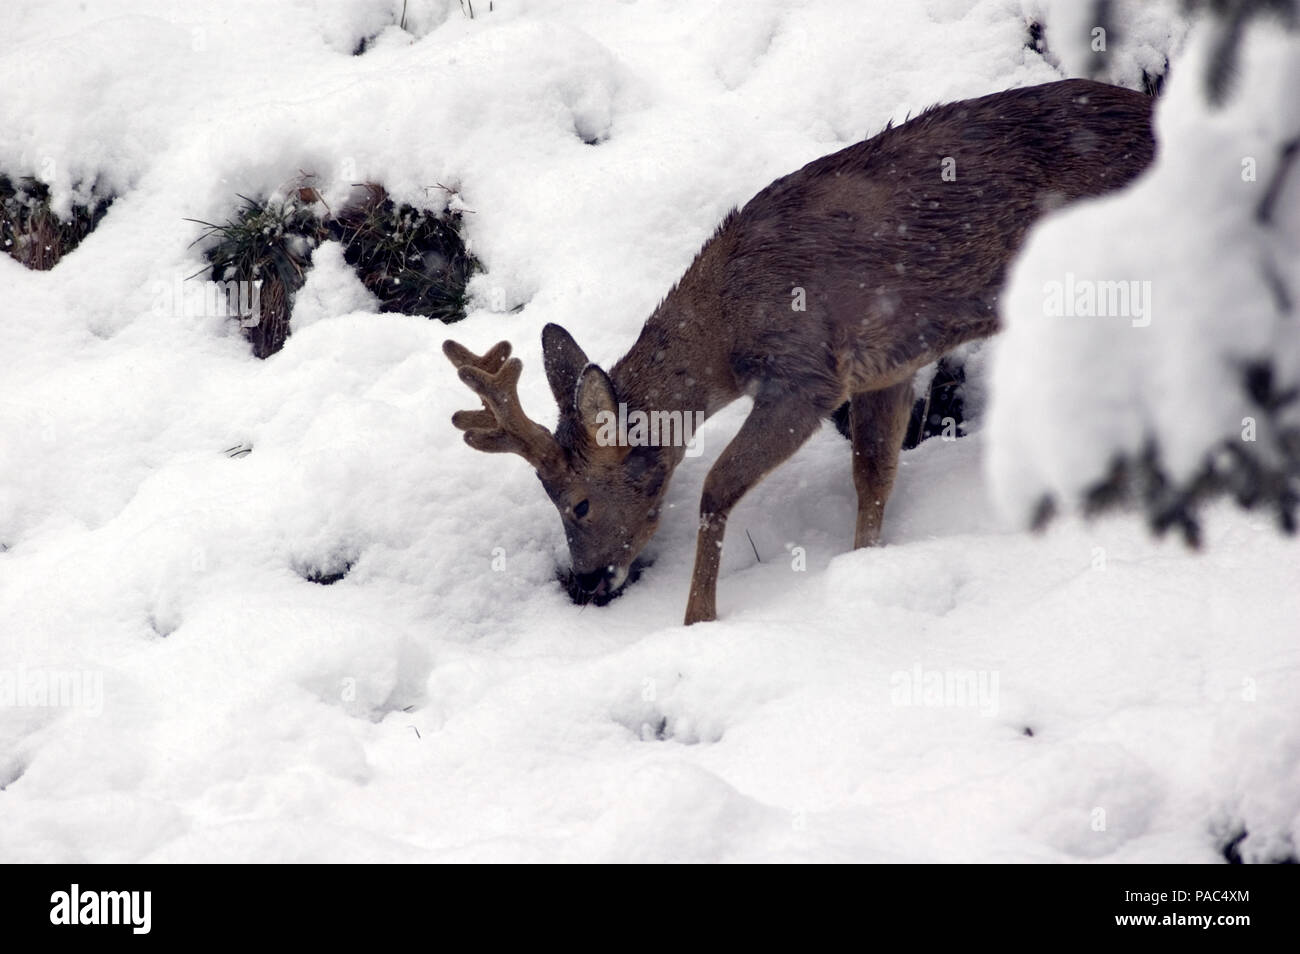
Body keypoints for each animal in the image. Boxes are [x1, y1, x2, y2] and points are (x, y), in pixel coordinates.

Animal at [445, 78, 1156, 625]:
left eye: (578, 503)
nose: (587, 582)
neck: (727, 330)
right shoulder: (886, 365)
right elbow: (873, 474)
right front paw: (864, 566)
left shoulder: (806, 374)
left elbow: (716, 488)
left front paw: (696, 619)